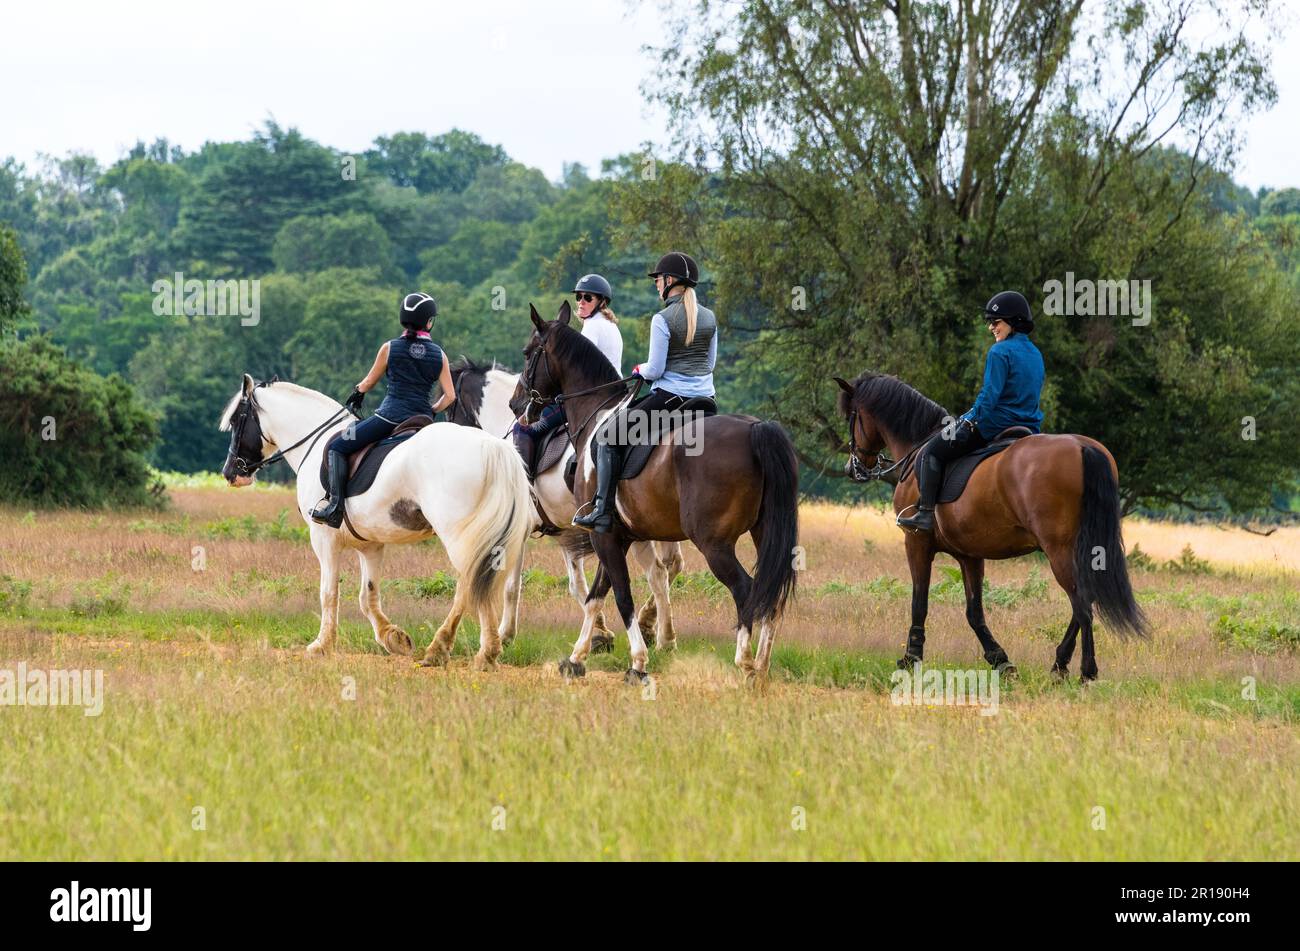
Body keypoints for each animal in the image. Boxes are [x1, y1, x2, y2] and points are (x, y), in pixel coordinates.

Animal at [219, 374, 533, 671]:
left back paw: (446, 649)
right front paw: (393, 637)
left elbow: (328, 592)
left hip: (460, 536)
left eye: (237, 420)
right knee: (483, 584)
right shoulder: (370, 545)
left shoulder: (324, 539)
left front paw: (322, 645)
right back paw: (485, 653)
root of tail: (493, 447)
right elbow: (367, 596)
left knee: (468, 585)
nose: (230, 473)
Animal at [446, 358, 683, 652]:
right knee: (667, 568)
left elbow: (513, 585)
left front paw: (505, 633)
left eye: (449, 407)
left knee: (662, 570)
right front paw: (600, 632)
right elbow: (577, 585)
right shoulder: (565, 532)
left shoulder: (520, 528)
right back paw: (657, 631)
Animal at [521, 301, 800, 684]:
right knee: (769, 594)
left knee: (746, 590)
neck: (597, 415)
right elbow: (597, 596)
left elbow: (621, 596)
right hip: (764, 533)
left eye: (528, 353)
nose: (519, 404)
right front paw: (576, 659)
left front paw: (637, 663)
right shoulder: (616, 536)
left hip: (714, 543)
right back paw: (761, 666)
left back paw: (744, 663)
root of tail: (756, 428)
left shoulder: (604, 537)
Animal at [833, 372, 1148, 681]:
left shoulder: (916, 543)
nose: (852, 468)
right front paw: (1001, 661)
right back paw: (1059, 664)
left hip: (1059, 549)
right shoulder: (969, 555)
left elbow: (919, 602)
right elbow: (974, 611)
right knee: (1085, 600)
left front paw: (911, 659)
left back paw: (1085, 671)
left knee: (1081, 603)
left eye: (850, 416)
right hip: (1087, 550)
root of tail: (1082, 447)